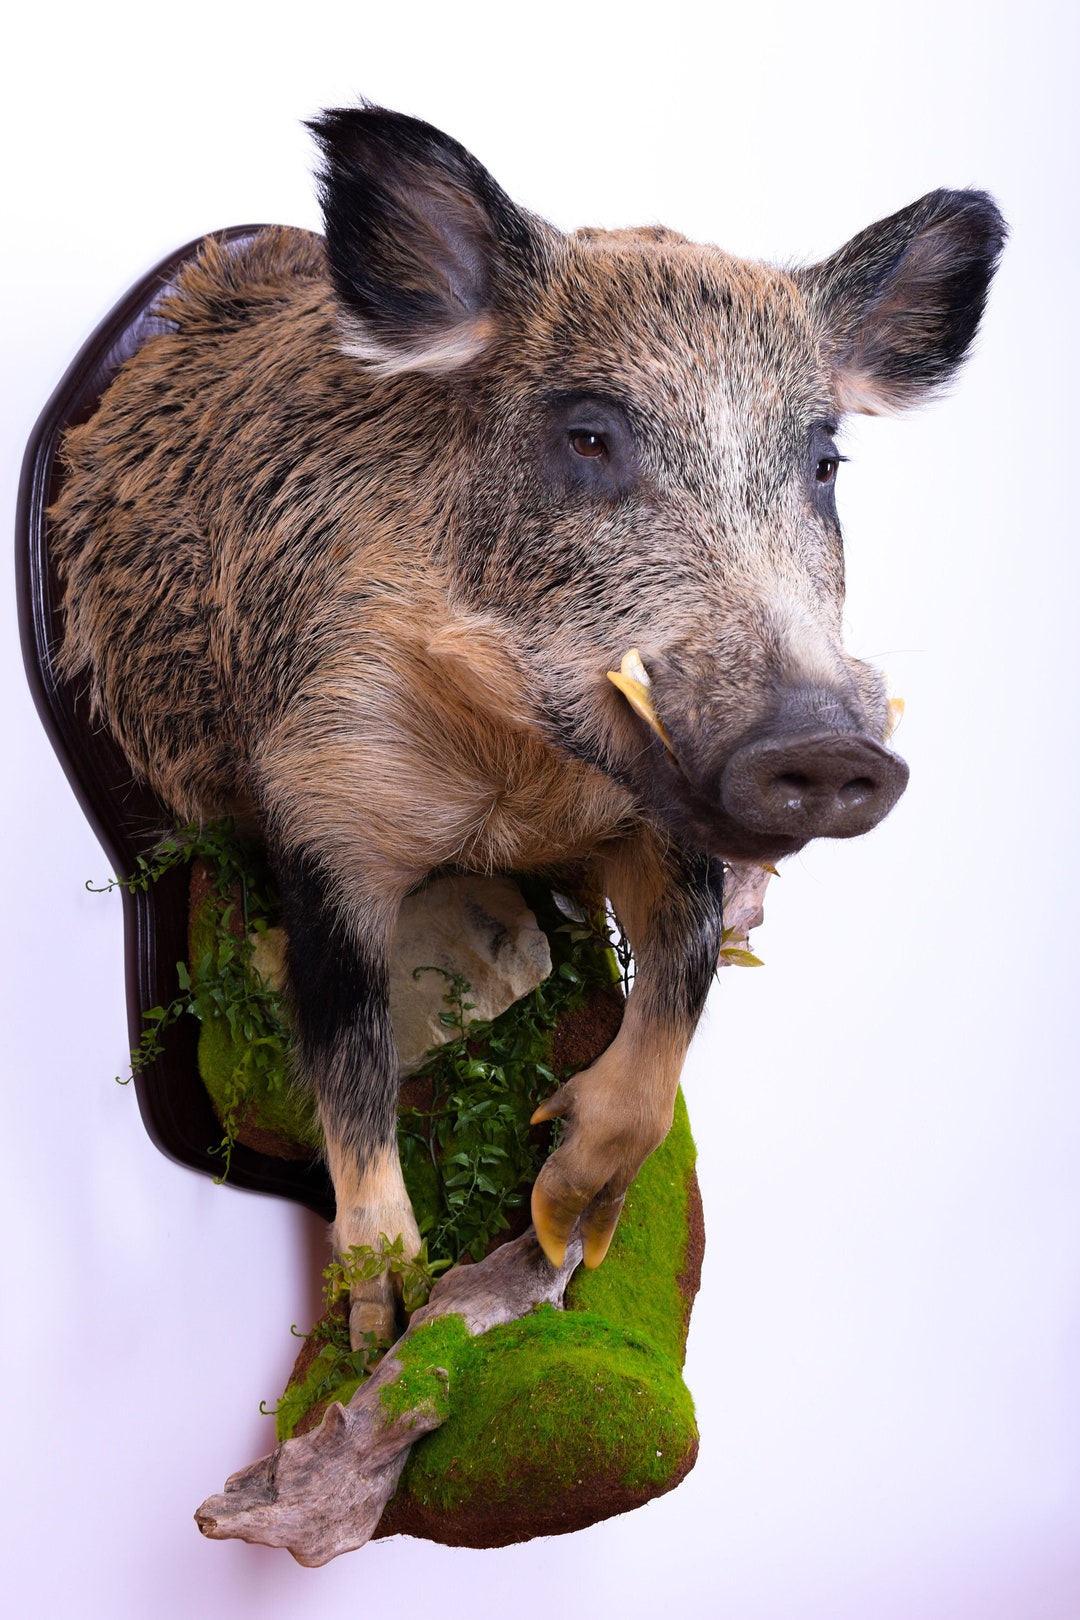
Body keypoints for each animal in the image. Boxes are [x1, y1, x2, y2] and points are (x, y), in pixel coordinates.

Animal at [52, 105, 1005, 1347]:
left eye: (824, 463)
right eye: (590, 437)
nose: (823, 744)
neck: (513, 777)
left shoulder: (662, 823)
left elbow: (677, 994)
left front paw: (564, 1234)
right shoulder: (320, 793)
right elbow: (349, 1050)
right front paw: (386, 1324)